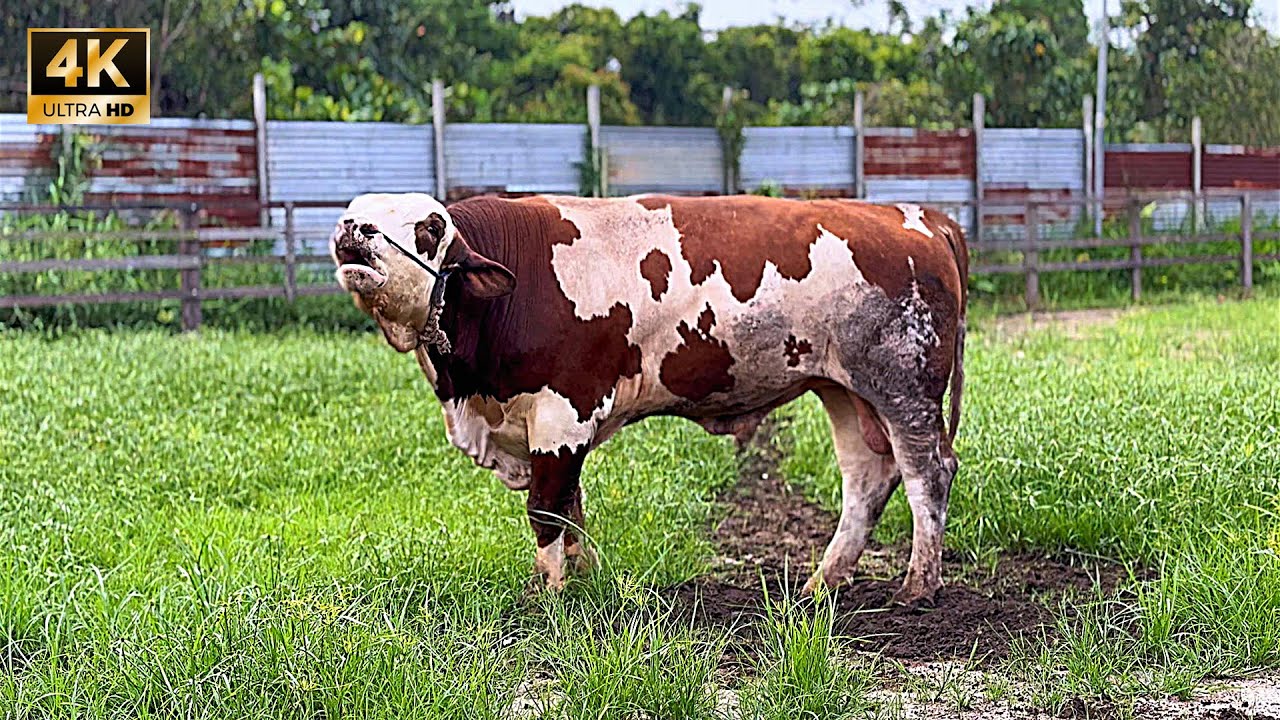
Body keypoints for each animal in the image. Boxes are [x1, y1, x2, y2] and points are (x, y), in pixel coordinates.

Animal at [330, 192, 967, 605]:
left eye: (429, 228)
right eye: (355, 211)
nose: (354, 229)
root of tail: (917, 216)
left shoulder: (563, 412)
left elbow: (547, 508)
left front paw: (550, 593)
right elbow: (572, 507)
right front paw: (585, 578)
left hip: (903, 385)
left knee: (926, 473)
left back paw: (918, 586)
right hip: (844, 389)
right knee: (866, 479)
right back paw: (821, 584)